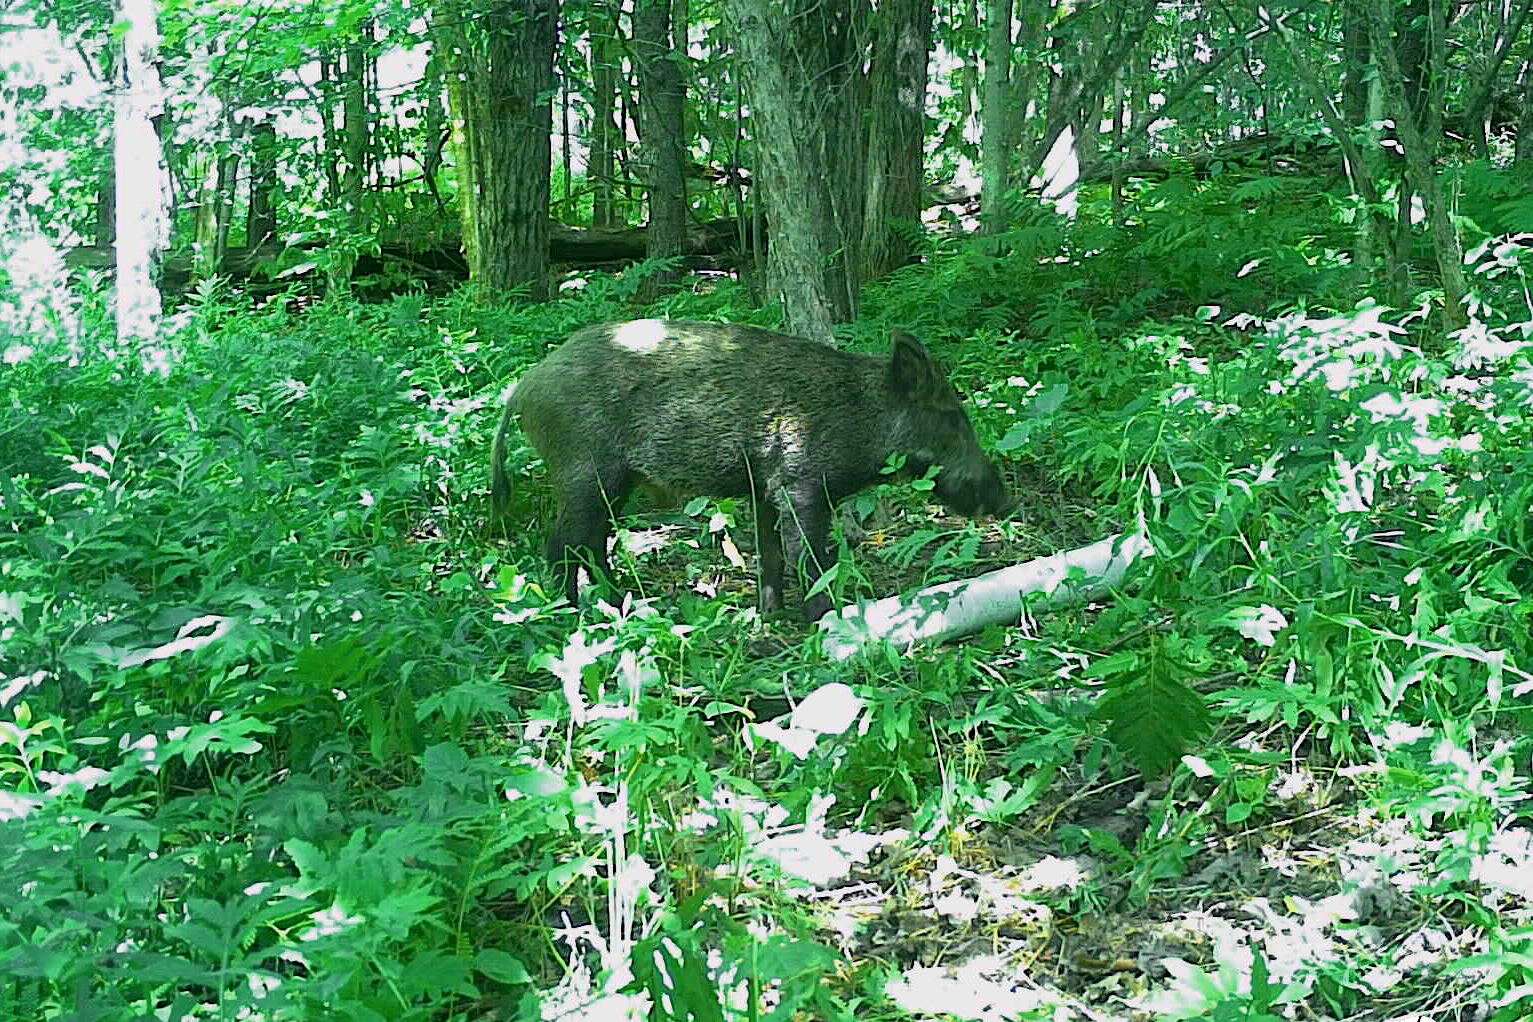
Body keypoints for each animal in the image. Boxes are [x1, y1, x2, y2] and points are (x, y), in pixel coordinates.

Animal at [490, 319, 1008, 620]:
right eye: (953, 416)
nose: (1002, 497)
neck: (865, 416)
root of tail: (523, 388)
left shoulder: (764, 487)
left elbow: (771, 554)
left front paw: (768, 615)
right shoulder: (800, 483)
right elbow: (809, 557)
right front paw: (824, 617)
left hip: (610, 484)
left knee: (593, 544)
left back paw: (623, 605)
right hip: (585, 472)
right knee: (561, 545)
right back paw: (572, 615)